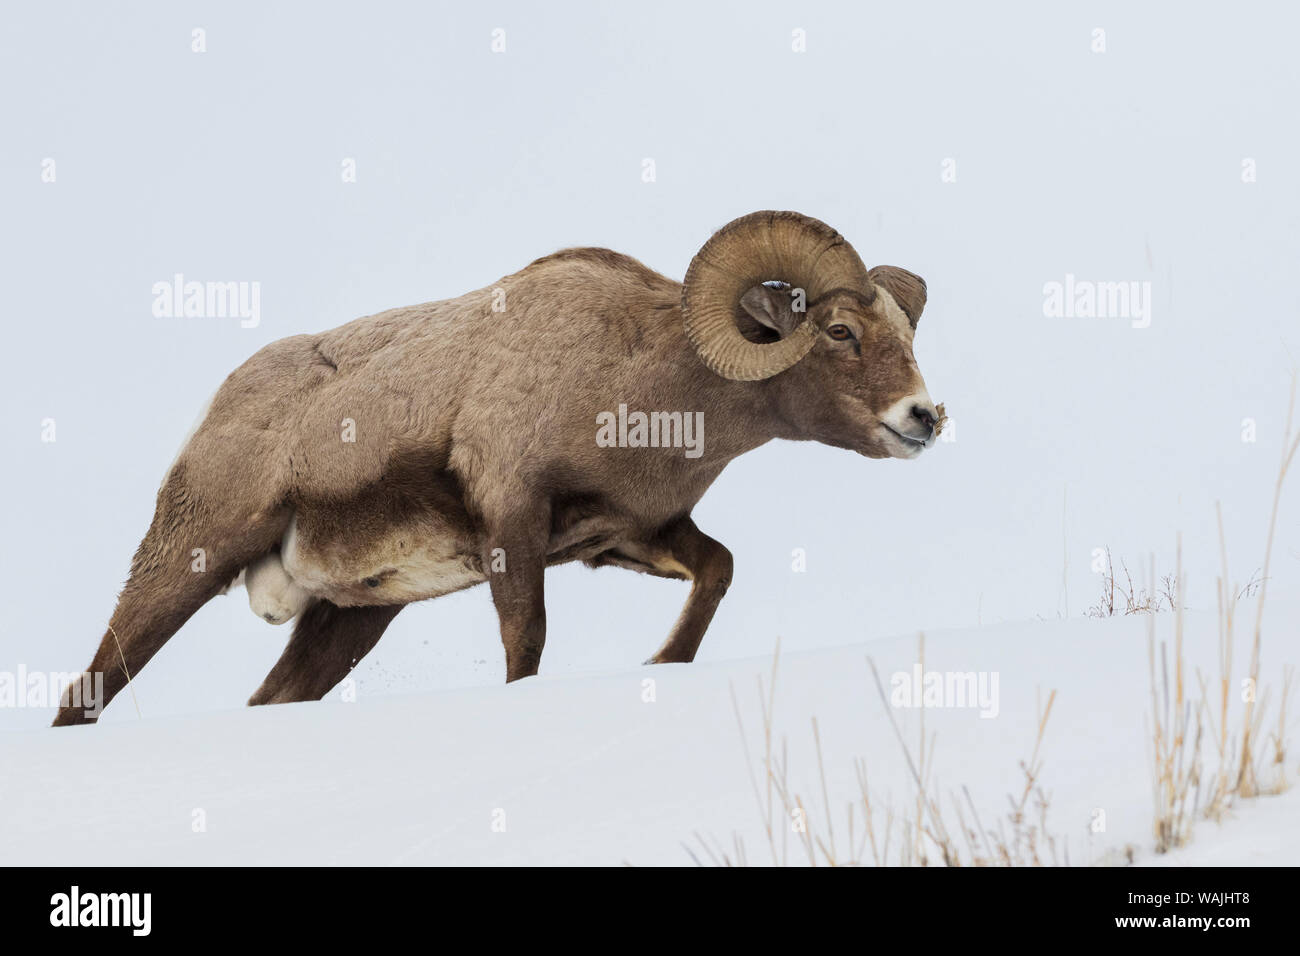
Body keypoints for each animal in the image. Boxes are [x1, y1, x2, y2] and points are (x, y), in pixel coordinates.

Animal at [53, 211, 942, 725]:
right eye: (837, 331)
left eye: (903, 331)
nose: (923, 418)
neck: (643, 381)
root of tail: (221, 404)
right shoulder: (515, 526)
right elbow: (527, 645)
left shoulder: (629, 535)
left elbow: (717, 569)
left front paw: (662, 664)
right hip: (184, 566)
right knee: (84, 695)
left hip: (351, 618)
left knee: (271, 702)